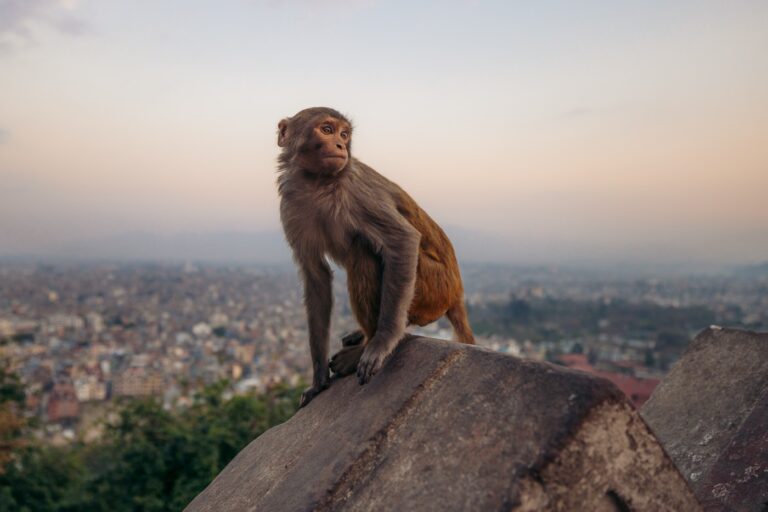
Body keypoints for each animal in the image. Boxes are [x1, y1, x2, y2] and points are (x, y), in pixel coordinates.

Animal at [276, 107, 474, 407]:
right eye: (327, 129)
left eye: (344, 134)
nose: (340, 146)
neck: (318, 183)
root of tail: (457, 291)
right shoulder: (290, 208)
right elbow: (316, 276)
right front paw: (318, 380)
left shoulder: (356, 193)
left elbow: (403, 240)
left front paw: (381, 343)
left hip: (432, 288)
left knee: (364, 251)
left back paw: (369, 341)